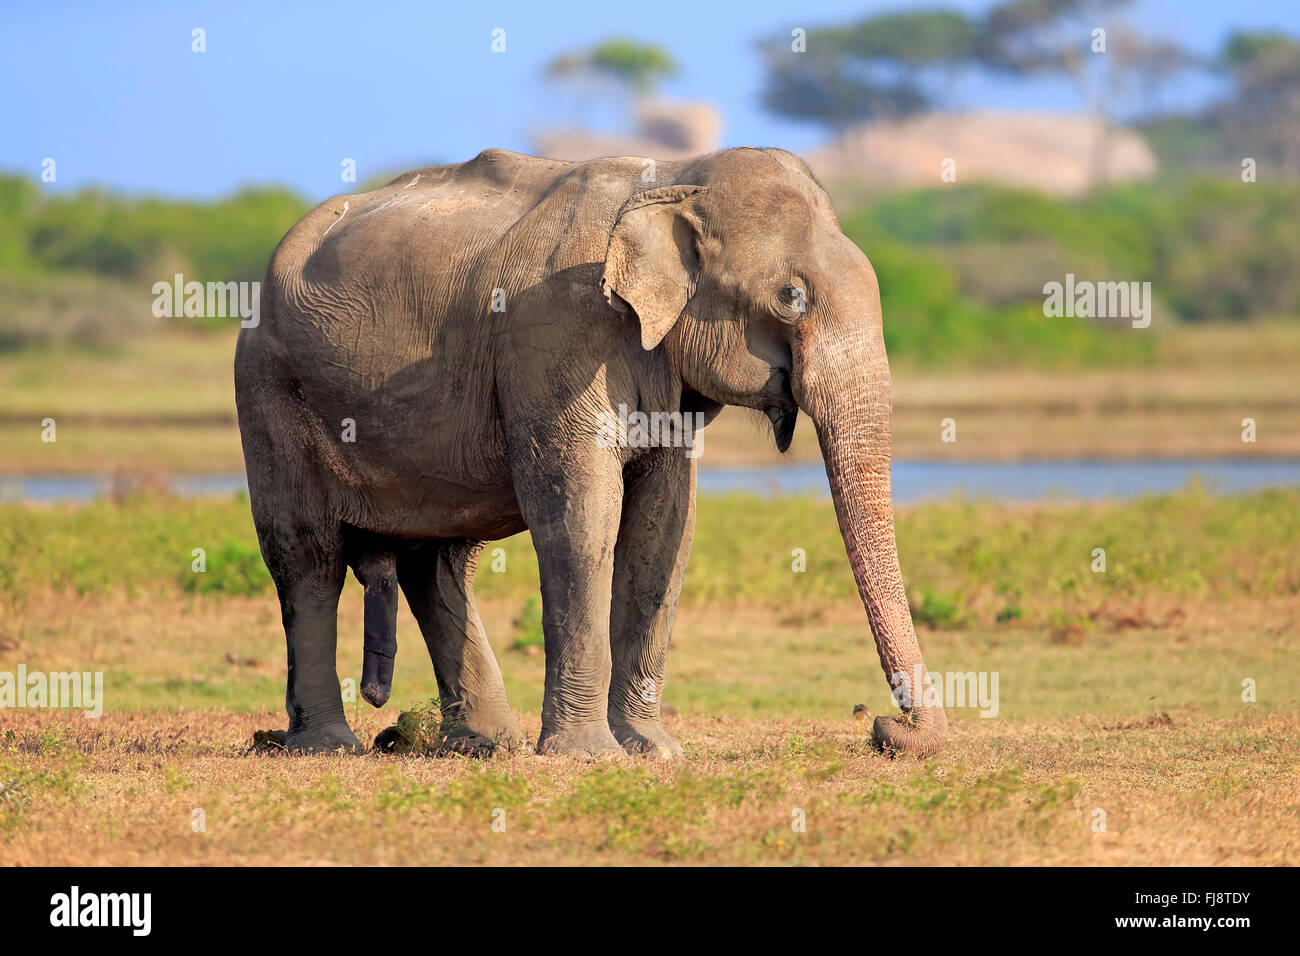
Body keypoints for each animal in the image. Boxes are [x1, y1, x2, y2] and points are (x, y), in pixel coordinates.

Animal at [233, 147, 947, 759]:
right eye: (790, 298)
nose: (888, 727)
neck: (675, 181)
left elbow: (665, 529)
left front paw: (653, 751)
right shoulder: (560, 334)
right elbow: (580, 517)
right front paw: (589, 756)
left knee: (437, 563)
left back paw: (486, 745)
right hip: (267, 391)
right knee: (307, 555)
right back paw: (331, 747)